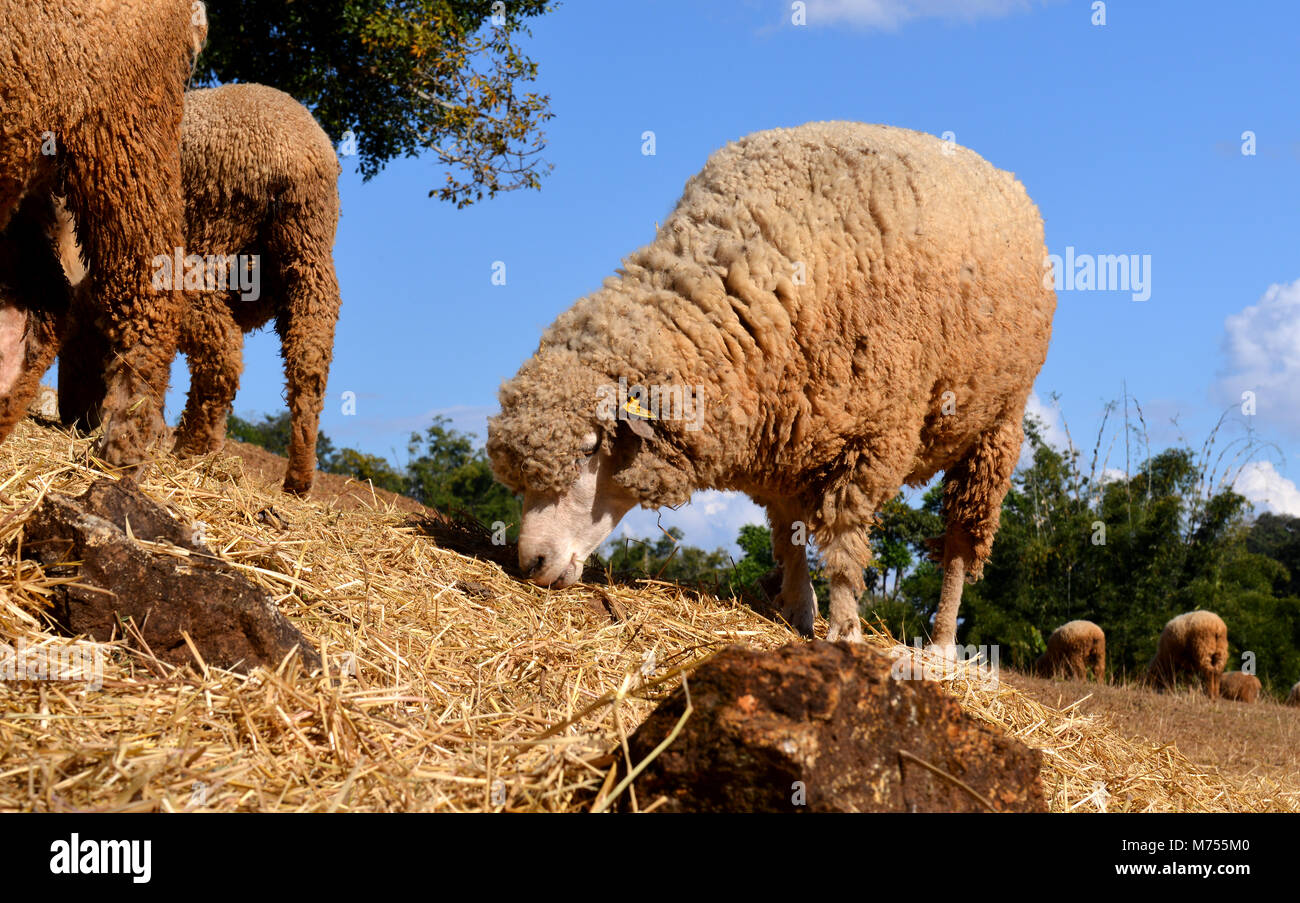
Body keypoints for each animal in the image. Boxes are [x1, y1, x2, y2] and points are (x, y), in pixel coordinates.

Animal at [56, 83, 343, 495]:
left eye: (74, 341)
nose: (71, 416)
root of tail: (290, 154)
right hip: (309, 246)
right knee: (310, 361)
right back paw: (298, 478)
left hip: (206, 239)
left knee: (221, 352)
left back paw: (192, 449)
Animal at [486, 121, 1056, 643]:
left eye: (589, 449)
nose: (530, 563)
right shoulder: (785, 430)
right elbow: (790, 535)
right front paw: (800, 612)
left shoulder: (874, 438)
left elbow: (843, 543)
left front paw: (844, 631)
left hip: (996, 426)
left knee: (961, 541)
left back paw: (940, 646)